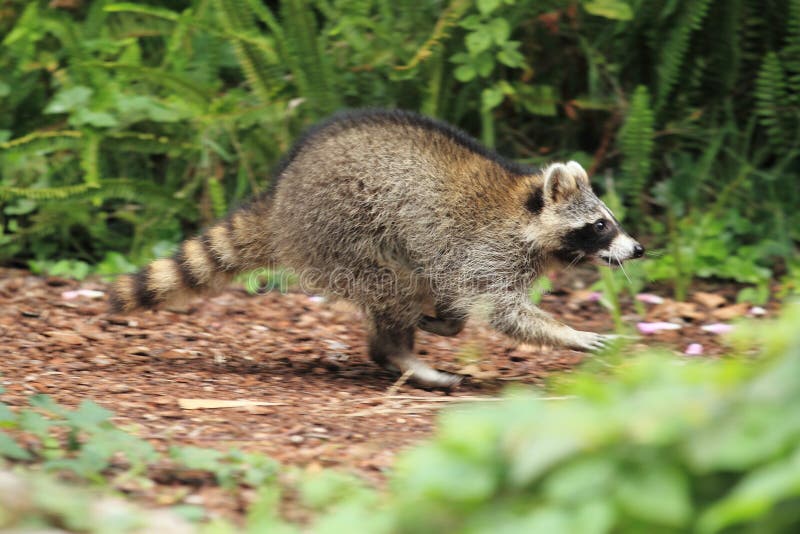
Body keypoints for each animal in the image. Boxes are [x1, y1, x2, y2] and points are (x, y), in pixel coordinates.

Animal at [111, 109, 644, 388]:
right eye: (600, 226)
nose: (637, 249)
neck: (523, 209)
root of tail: (282, 199)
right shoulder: (486, 251)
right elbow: (502, 310)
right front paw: (571, 334)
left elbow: (461, 298)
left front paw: (448, 320)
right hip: (341, 229)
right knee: (396, 286)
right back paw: (399, 354)